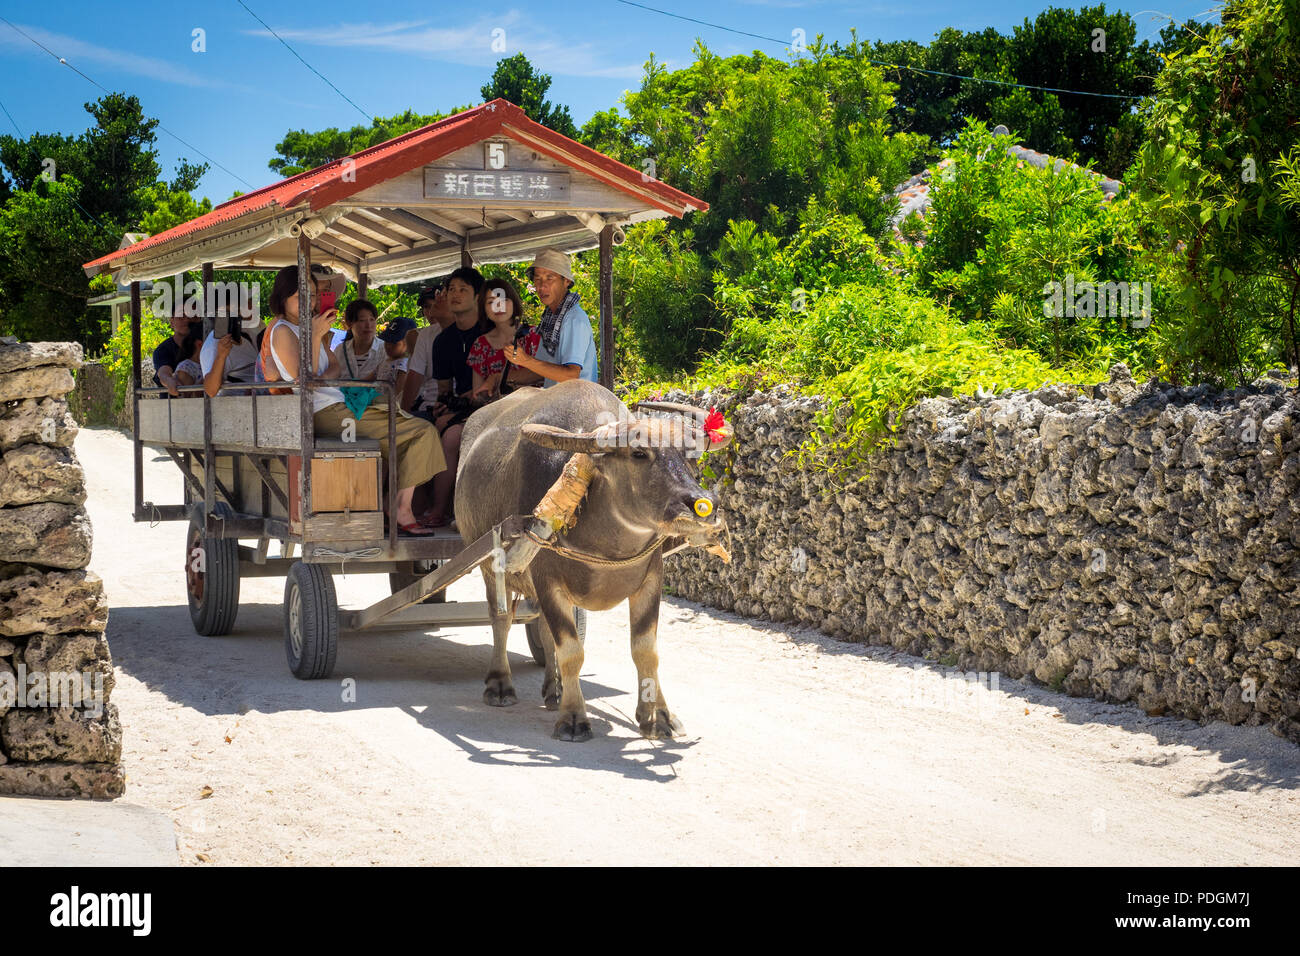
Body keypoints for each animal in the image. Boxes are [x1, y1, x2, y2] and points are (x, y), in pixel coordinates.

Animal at [454, 379, 729, 741]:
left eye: (690, 456)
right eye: (638, 453)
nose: (701, 505)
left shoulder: (651, 578)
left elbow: (645, 649)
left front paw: (658, 717)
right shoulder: (547, 579)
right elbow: (571, 650)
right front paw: (573, 718)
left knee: (543, 630)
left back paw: (554, 690)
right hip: (489, 565)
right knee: (501, 620)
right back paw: (500, 685)